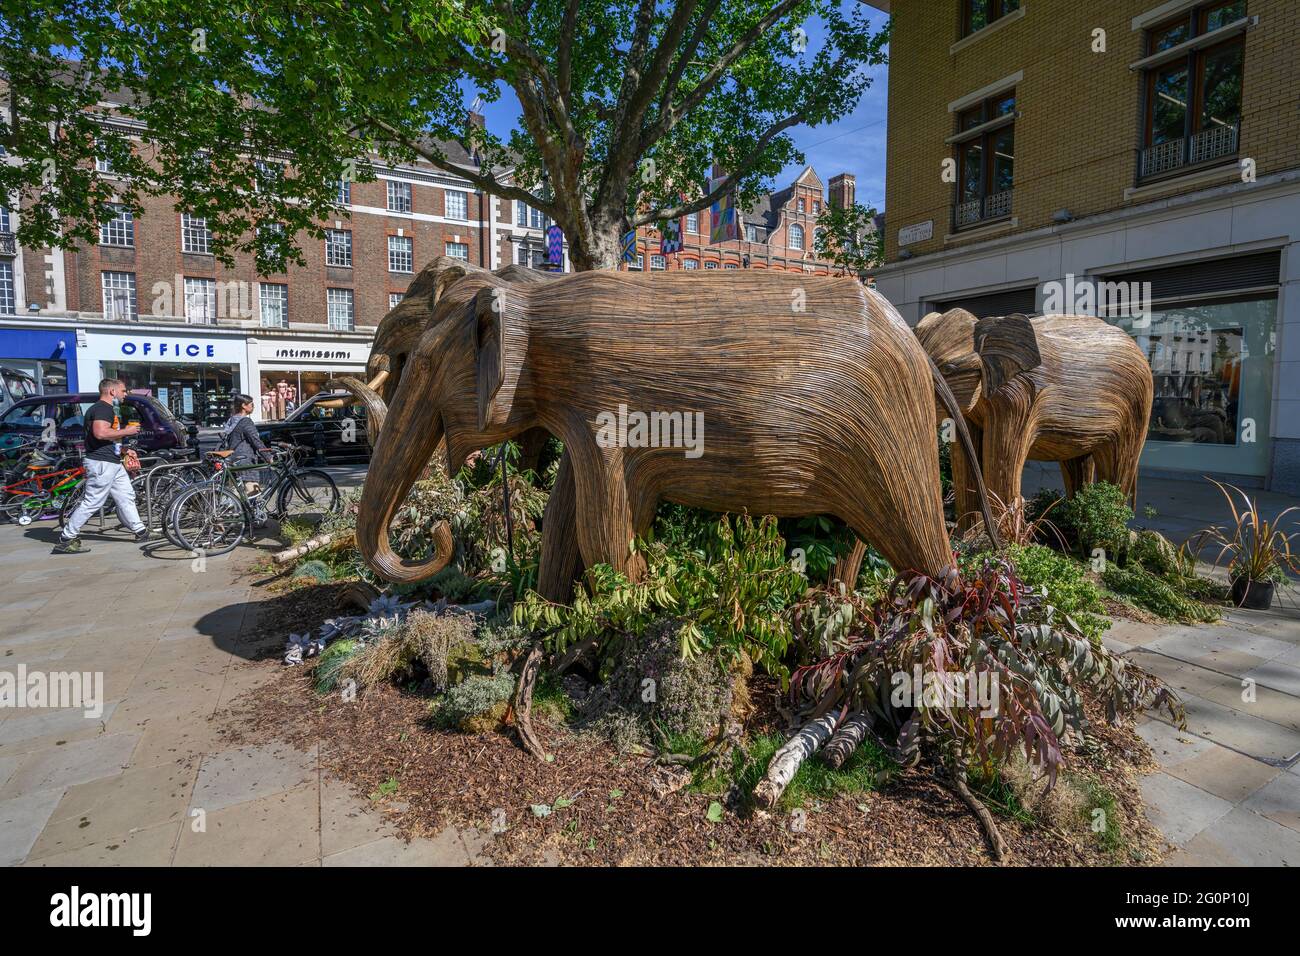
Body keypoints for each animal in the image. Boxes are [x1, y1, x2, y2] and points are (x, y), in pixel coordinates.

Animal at [356, 270, 999, 588]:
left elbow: (607, 535)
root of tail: (918, 349)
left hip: (890, 435)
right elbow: (567, 520)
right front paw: (550, 617)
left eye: (424, 364)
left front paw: (635, 598)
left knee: (922, 547)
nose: (438, 533)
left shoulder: (606, 405)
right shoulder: (584, 415)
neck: (534, 296)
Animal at [915, 307, 1153, 528]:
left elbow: (1002, 459)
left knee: (1118, 464)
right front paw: (967, 535)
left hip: (1137, 408)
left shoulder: (1018, 398)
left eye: (948, 368)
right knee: (1078, 463)